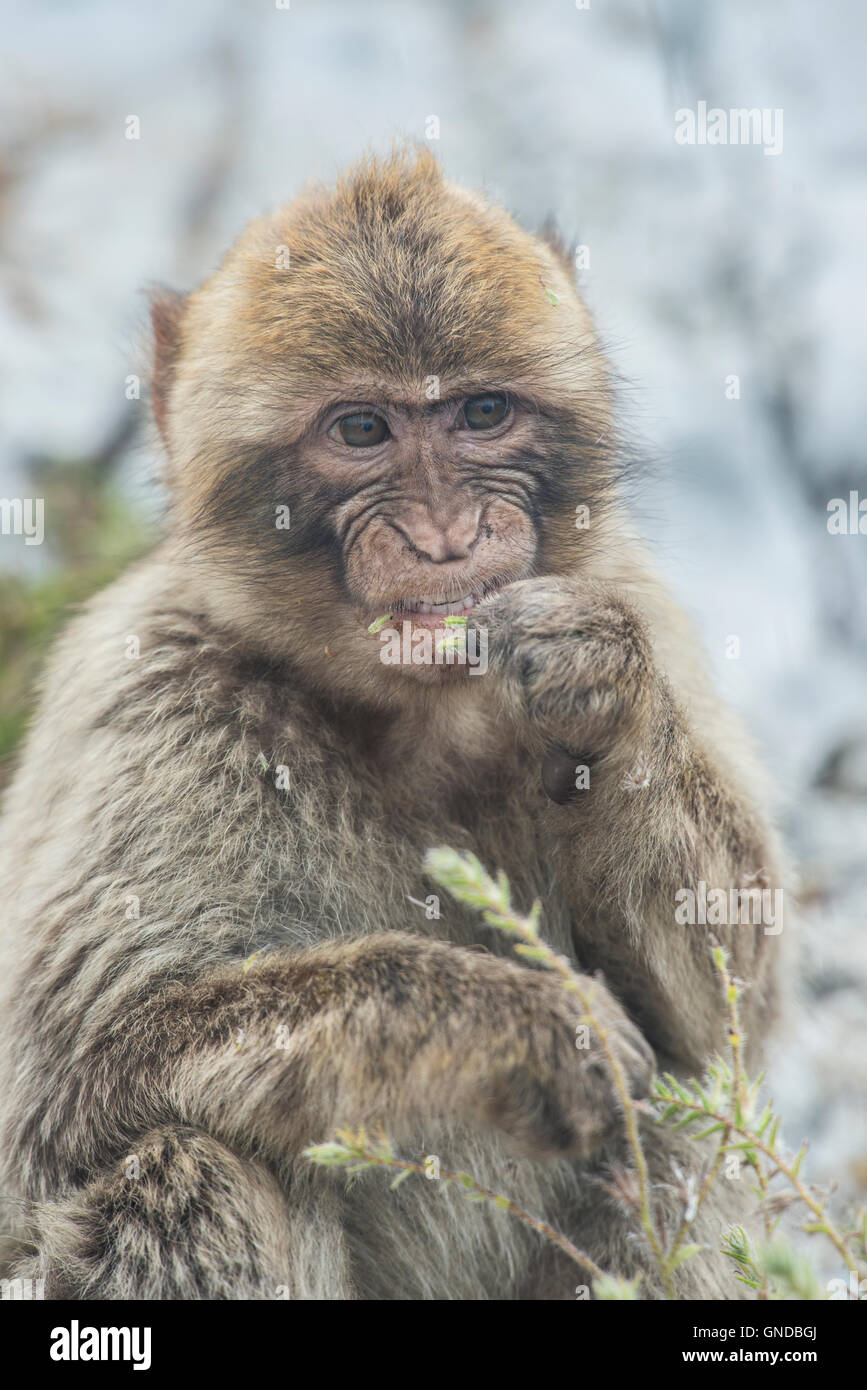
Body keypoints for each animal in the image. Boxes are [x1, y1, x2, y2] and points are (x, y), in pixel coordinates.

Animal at [0, 148, 788, 1300]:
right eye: (362, 430)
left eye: (482, 413)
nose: (445, 534)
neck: (421, 717)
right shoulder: (147, 698)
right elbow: (64, 1084)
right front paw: (515, 1028)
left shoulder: (642, 595)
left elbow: (729, 1013)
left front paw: (602, 685)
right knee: (190, 1164)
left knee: (687, 1139)